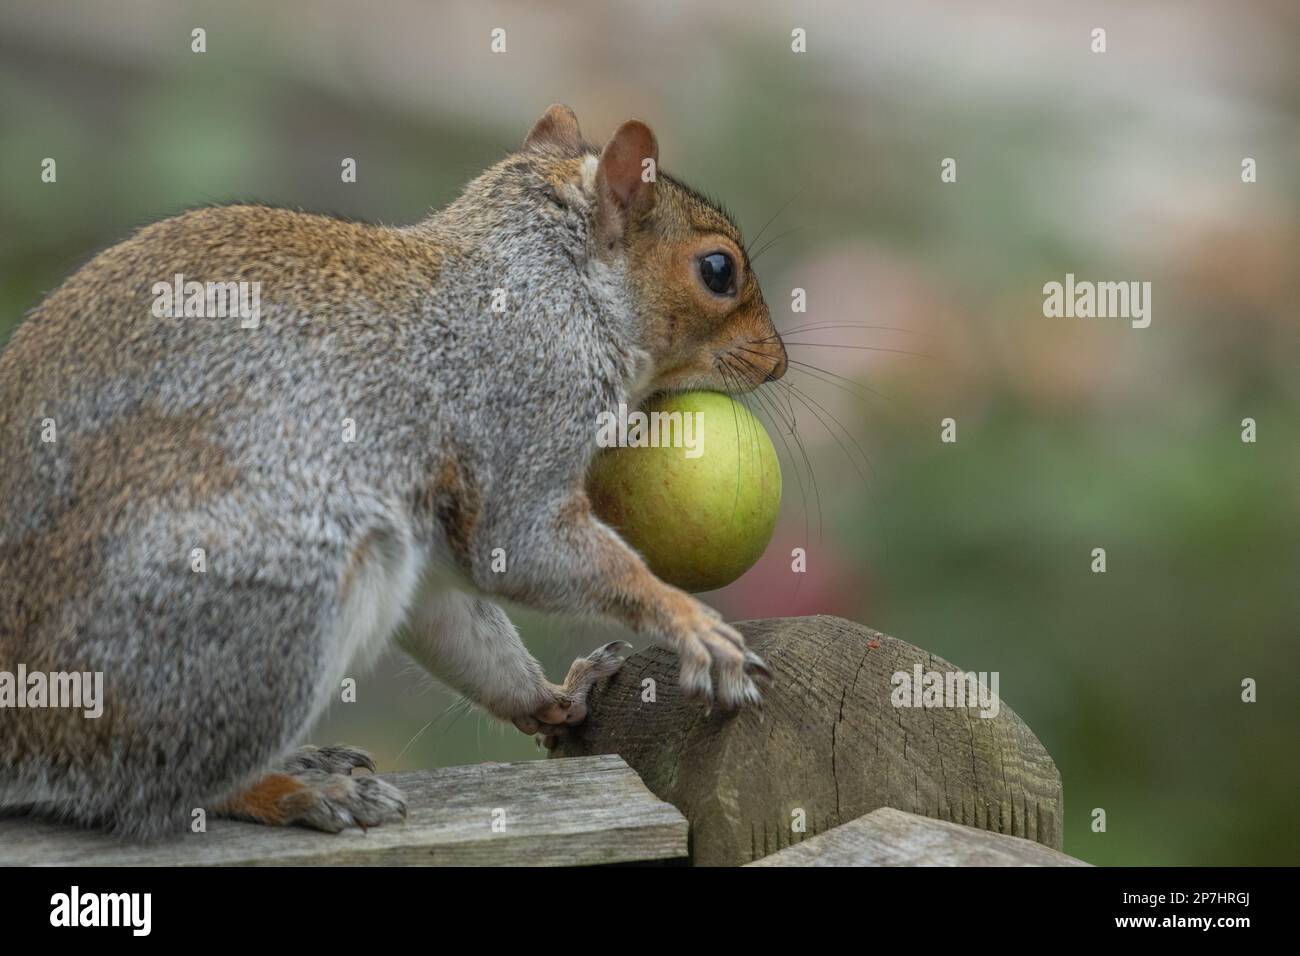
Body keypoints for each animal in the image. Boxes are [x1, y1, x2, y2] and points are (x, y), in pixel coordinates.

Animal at [0, 105, 787, 839]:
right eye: (718, 270)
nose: (778, 362)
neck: (553, 284)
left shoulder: (438, 539)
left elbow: (461, 625)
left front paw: (560, 696)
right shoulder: (522, 409)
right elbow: (523, 545)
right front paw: (691, 624)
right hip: (258, 601)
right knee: (146, 793)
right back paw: (293, 790)